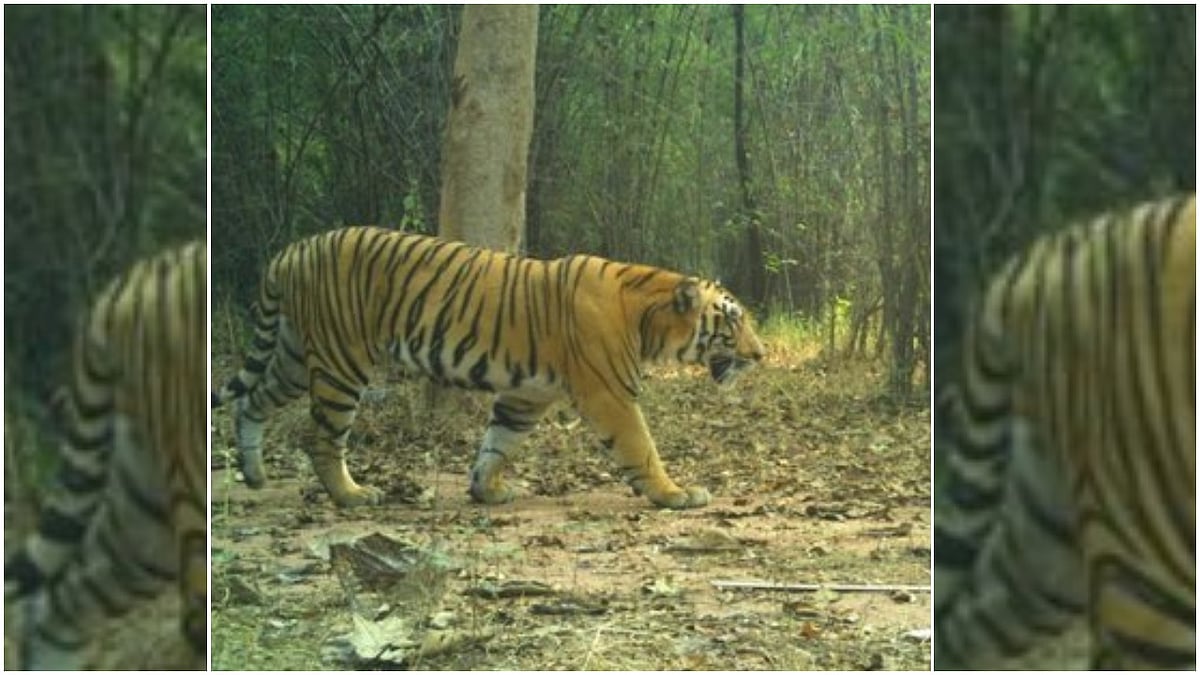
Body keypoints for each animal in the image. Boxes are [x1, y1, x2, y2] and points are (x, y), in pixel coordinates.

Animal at [212, 226, 764, 510]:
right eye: (733, 321)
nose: (760, 355)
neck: (647, 318)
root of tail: (292, 249)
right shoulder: (609, 393)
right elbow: (642, 448)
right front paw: (676, 494)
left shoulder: (526, 394)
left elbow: (498, 443)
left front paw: (487, 490)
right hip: (341, 360)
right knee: (321, 437)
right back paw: (352, 495)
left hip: (294, 354)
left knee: (250, 401)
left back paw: (255, 474)